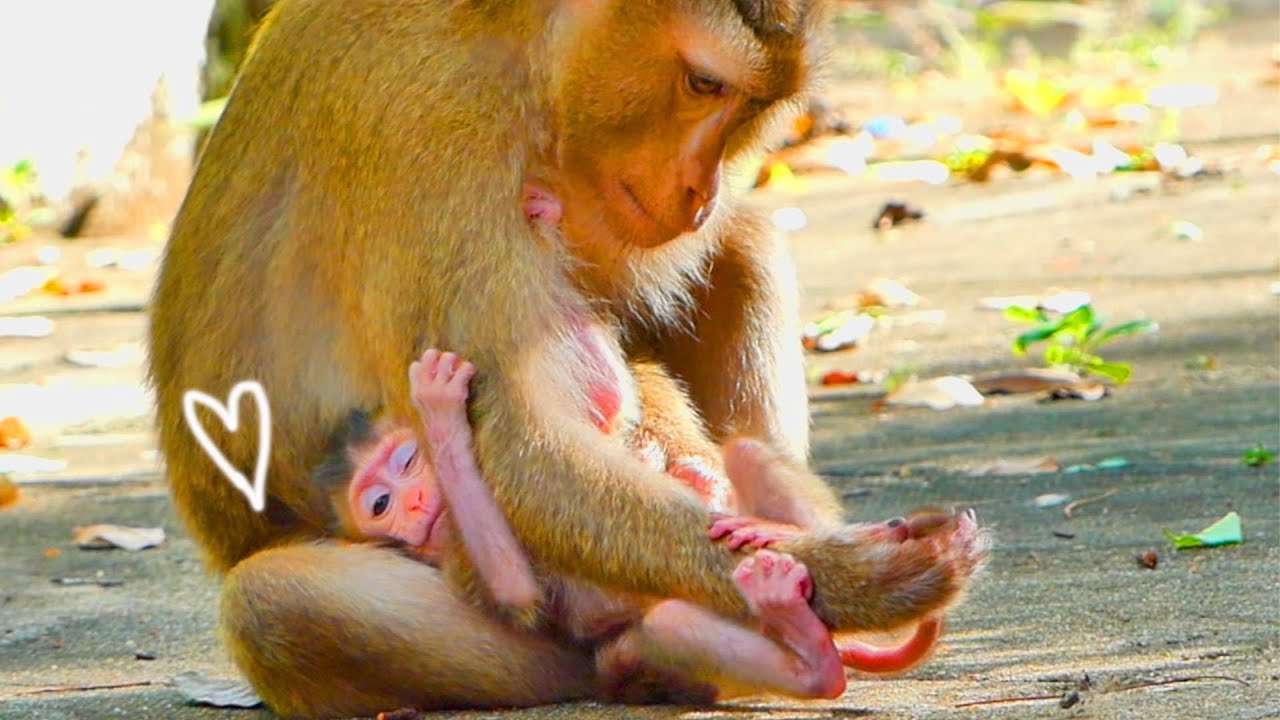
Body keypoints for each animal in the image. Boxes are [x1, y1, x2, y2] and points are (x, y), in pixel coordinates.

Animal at [149, 1, 988, 715]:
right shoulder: (439, 139)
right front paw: (854, 582)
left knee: (742, 243)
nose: (700, 191)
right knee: (272, 598)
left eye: (749, 105)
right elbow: (528, 449)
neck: (522, 47)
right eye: (703, 83)